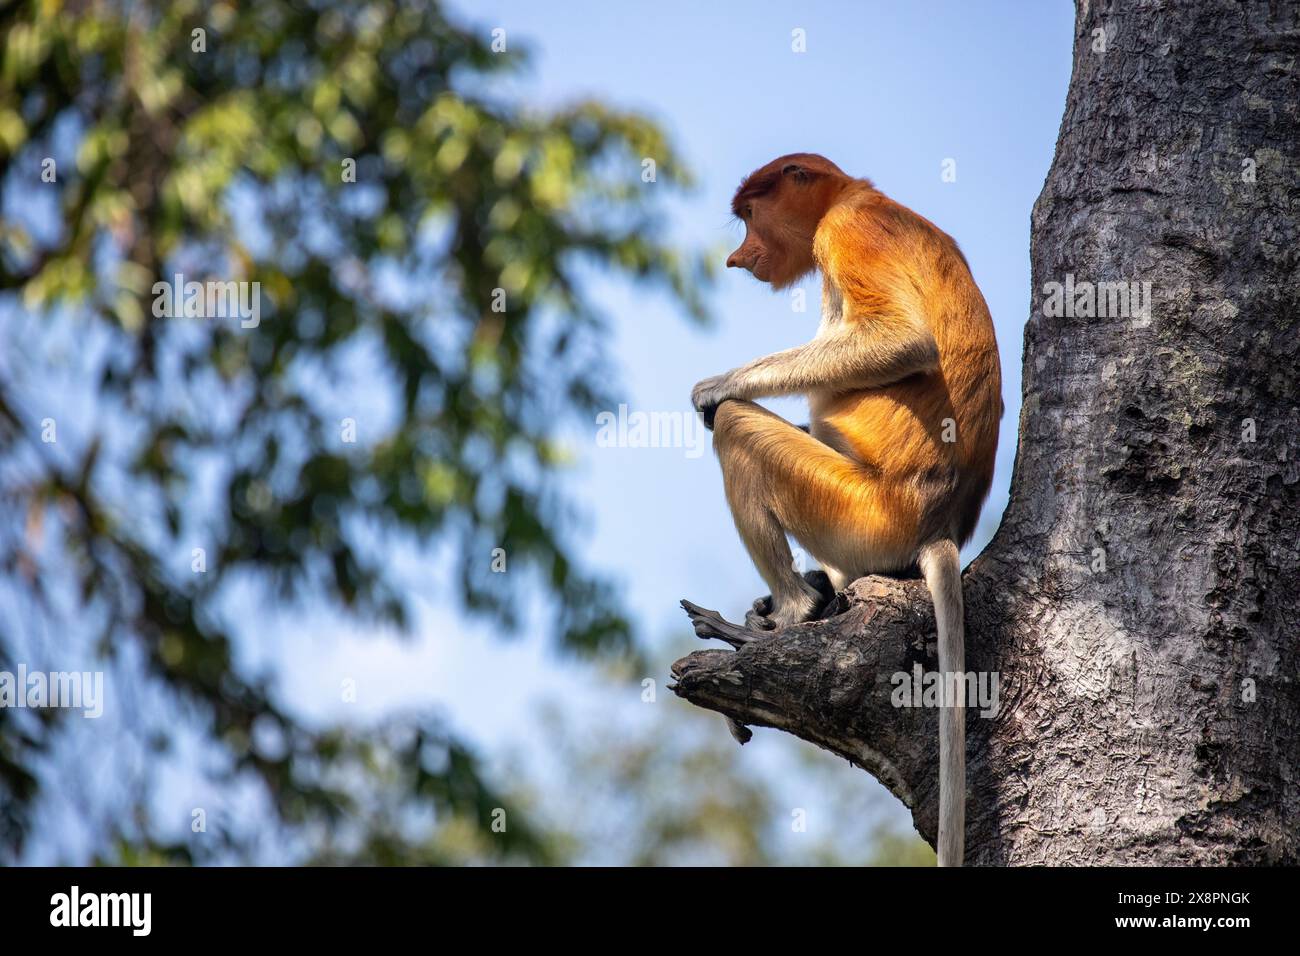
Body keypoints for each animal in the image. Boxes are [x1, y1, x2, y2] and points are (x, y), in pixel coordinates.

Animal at [685, 153, 1002, 867]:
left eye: (750, 215)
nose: (737, 257)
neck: (853, 195)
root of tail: (939, 527)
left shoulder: (849, 233)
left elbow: (904, 340)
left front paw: (715, 386)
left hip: (858, 514)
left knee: (739, 427)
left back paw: (795, 612)